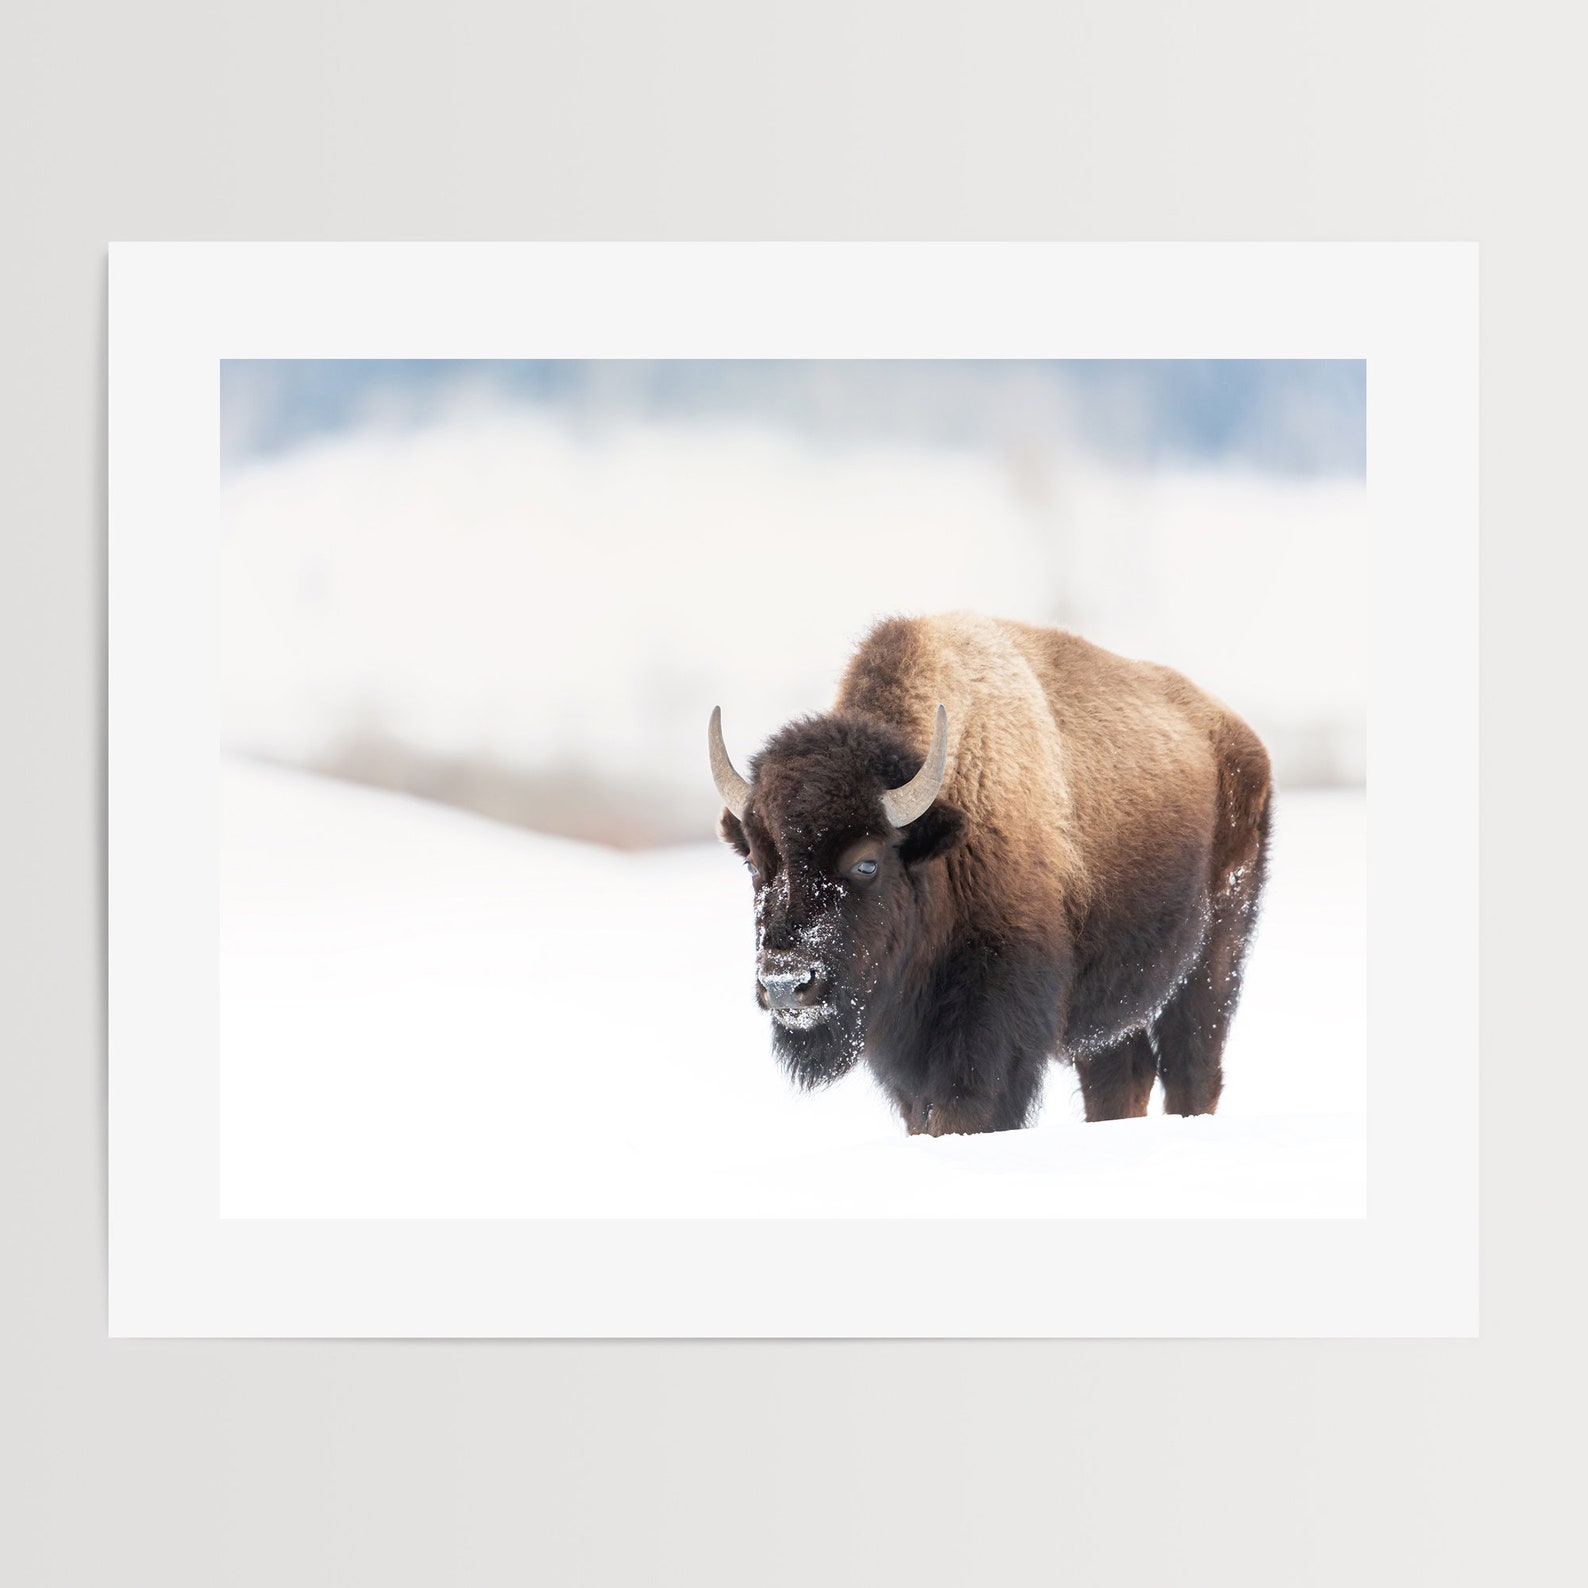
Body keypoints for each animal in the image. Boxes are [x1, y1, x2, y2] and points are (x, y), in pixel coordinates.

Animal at [709, 611, 1273, 1135]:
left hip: (1213, 960)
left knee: (1191, 1067)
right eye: (756, 863)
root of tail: (1241, 739)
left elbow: (967, 1107)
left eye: (867, 862)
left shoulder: (989, 1028)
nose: (785, 983)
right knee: (1122, 1077)